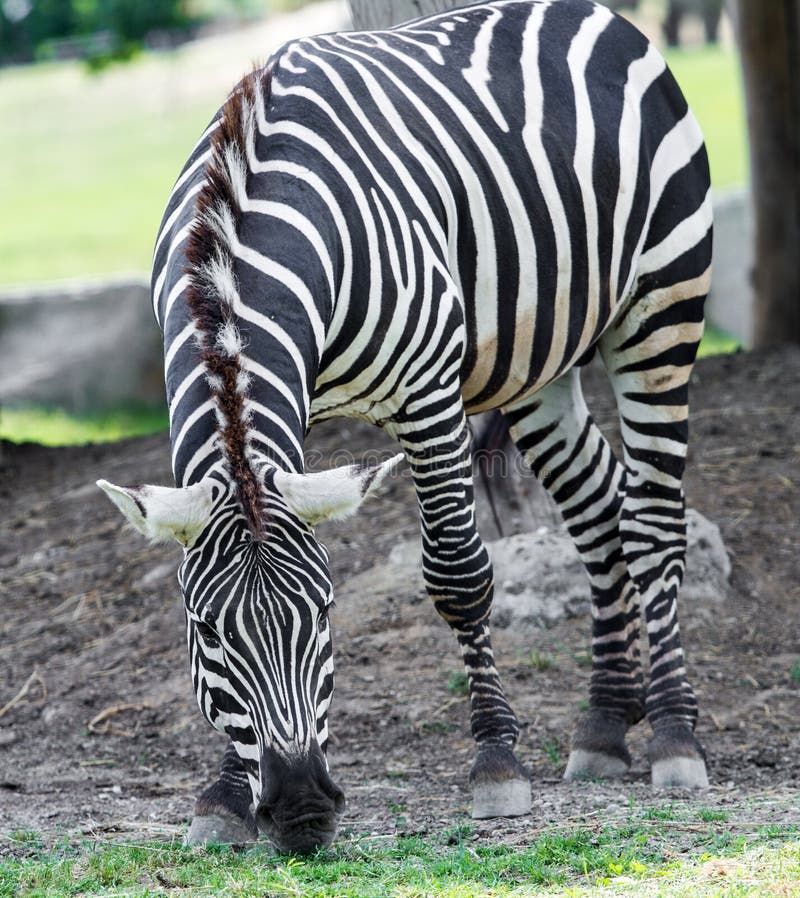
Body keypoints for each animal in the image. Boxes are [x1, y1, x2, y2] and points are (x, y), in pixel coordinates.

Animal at [98, 0, 713, 854]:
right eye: (208, 632)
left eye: (324, 616)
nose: (301, 811)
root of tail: (587, 11)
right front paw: (222, 796)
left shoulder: (427, 394)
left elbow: (459, 575)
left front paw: (495, 762)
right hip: (534, 359)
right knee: (599, 508)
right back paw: (602, 723)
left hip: (663, 304)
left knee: (653, 515)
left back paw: (675, 736)